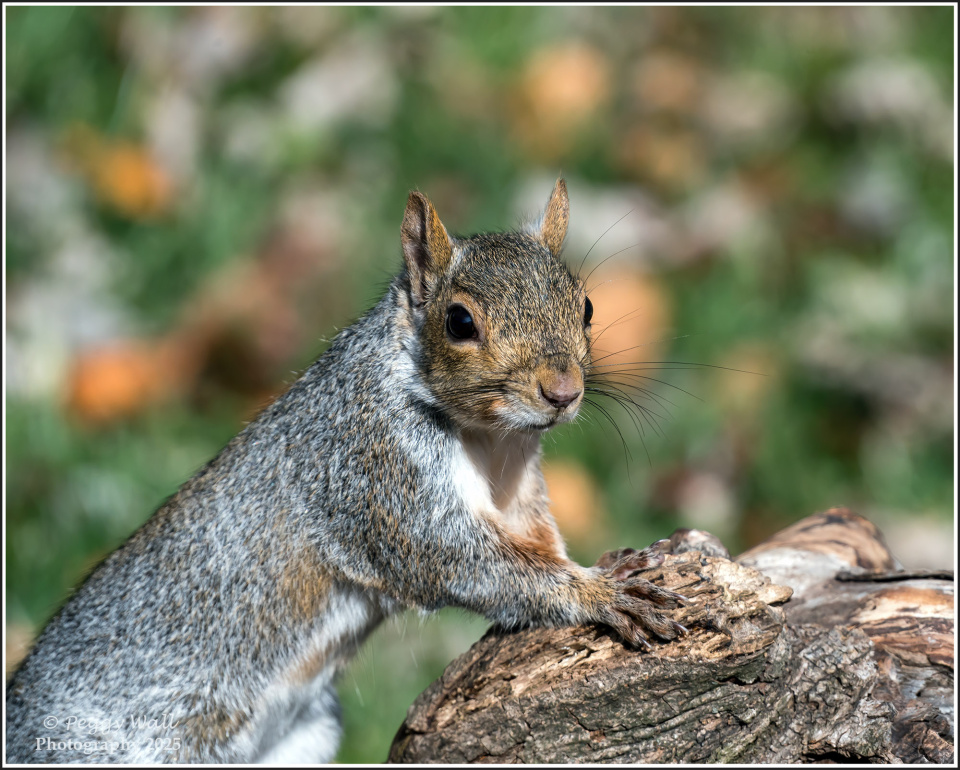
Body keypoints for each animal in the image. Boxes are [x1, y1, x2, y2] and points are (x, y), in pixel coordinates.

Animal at [5, 179, 687, 763]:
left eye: (587, 305)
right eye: (459, 321)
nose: (562, 392)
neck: (488, 439)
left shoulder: (518, 490)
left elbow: (536, 541)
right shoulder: (372, 469)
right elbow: (463, 558)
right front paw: (599, 594)